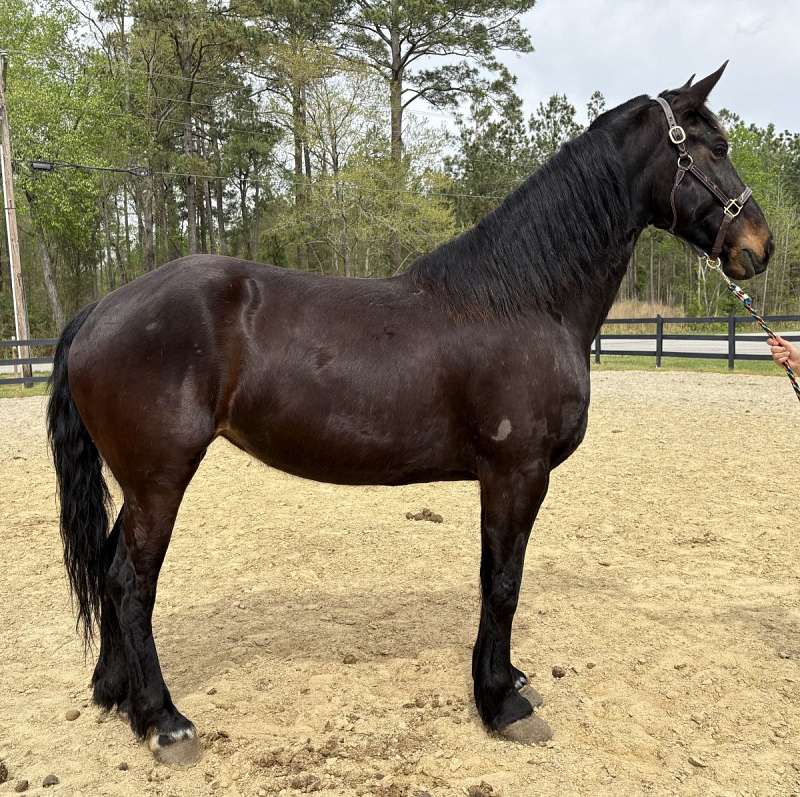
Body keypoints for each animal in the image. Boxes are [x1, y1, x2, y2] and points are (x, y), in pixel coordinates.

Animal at [47, 64, 773, 764]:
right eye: (713, 147)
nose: (759, 245)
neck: (524, 299)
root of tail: (100, 309)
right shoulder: (516, 472)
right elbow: (502, 581)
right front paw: (500, 703)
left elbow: (497, 579)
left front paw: (506, 679)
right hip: (160, 478)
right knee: (131, 582)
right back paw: (164, 722)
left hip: (140, 484)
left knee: (110, 571)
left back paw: (117, 695)